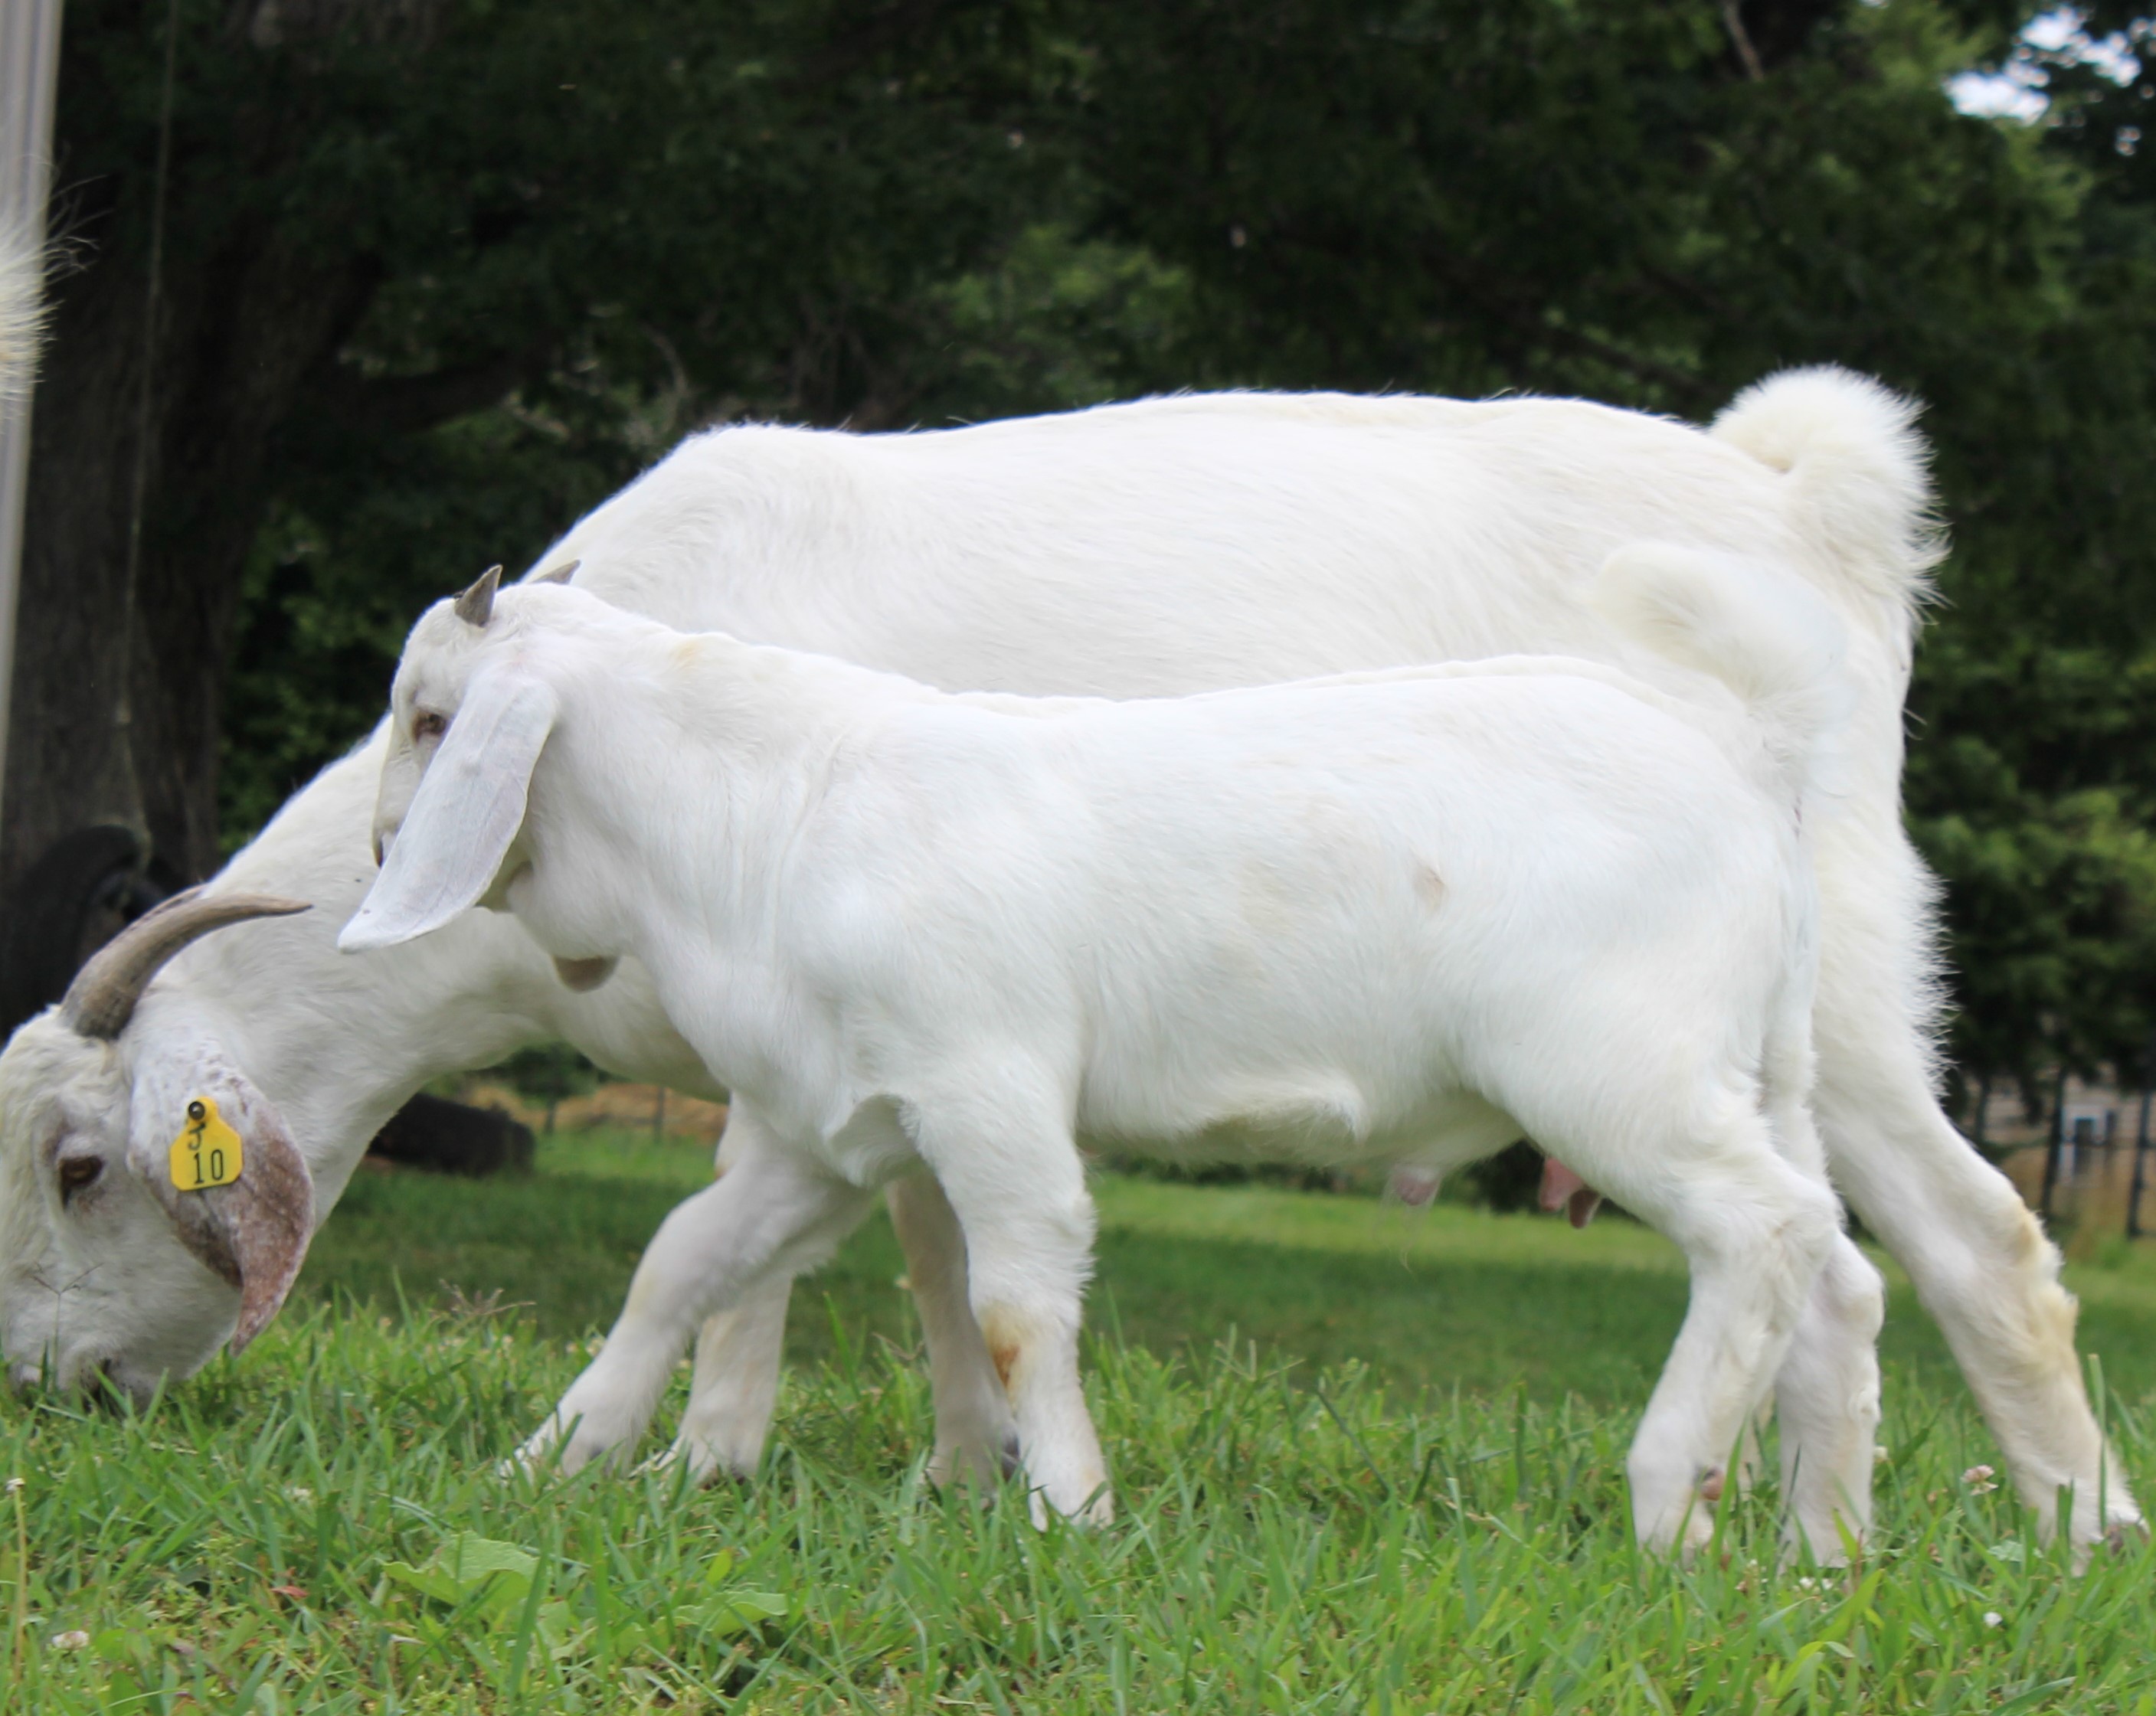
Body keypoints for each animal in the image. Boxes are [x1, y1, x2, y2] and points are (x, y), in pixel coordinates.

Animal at [0, 374, 2131, 1554]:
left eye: (82, 1166)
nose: (51, 1392)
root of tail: (1801, 498)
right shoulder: (860, 1076)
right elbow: (892, 1255)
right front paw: (949, 1473)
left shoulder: (861, 1050)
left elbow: (834, 1275)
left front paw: (720, 1463)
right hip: (1770, 1043)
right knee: (1843, 1263)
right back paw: (1829, 1537)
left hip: (1781, 1007)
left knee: (1963, 1243)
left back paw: (2047, 1528)